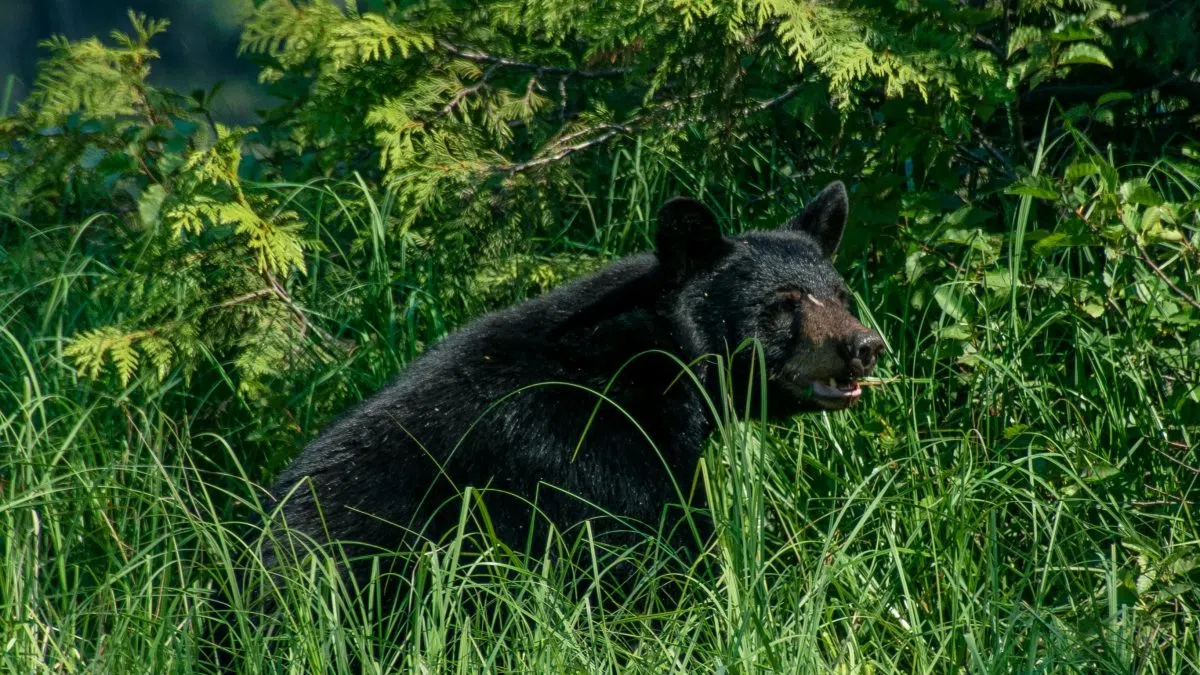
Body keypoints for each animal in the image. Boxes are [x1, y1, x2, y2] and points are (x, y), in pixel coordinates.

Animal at [259, 180, 883, 603]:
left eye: (841, 293)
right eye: (783, 302)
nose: (865, 345)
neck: (651, 364)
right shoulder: (588, 449)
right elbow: (649, 550)